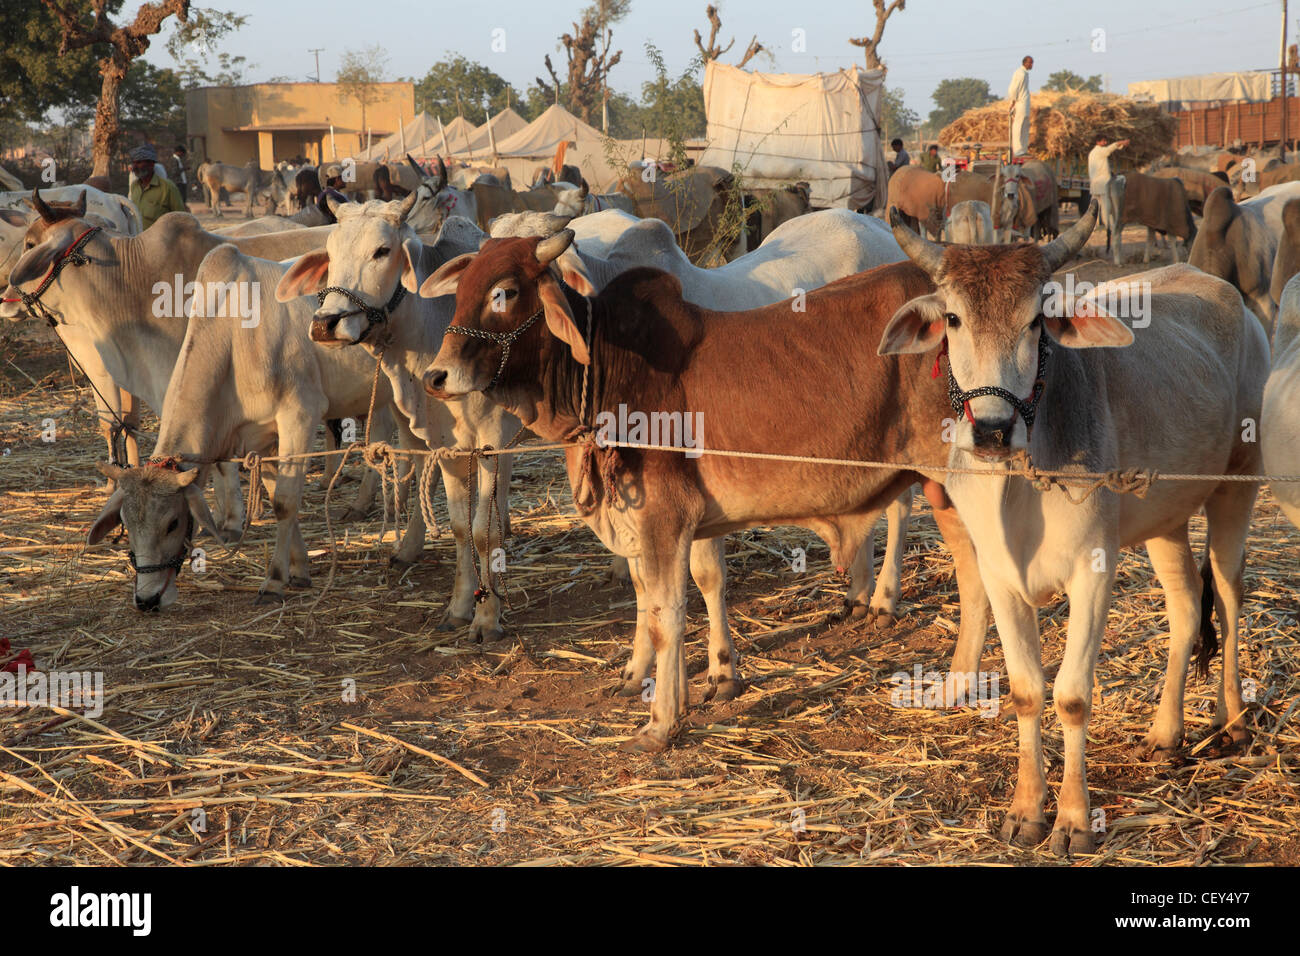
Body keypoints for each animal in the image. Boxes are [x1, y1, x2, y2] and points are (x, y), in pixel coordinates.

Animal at [83, 243, 425, 608]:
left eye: (173, 523)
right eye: (126, 525)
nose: (147, 600)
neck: (234, 336)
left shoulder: (300, 414)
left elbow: (285, 501)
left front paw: (274, 581)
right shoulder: (263, 438)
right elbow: (276, 493)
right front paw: (298, 570)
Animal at [415, 231, 997, 749]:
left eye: (505, 292)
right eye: (462, 288)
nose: (436, 376)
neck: (603, 372)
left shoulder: (664, 517)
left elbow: (669, 615)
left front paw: (661, 722)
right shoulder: (651, 523)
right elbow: (649, 599)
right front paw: (646, 677)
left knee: (979, 573)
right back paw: (953, 683)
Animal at [879, 202, 1268, 856]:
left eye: (1036, 320)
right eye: (953, 318)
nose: (991, 430)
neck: (1018, 483)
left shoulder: (1093, 570)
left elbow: (1072, 695)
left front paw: (1073, 820)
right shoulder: (1000, 577)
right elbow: (1027, 690)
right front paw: (1025, 811)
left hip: (1237, 485)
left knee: (1228, 595)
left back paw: (1233, 720)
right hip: (1163, 517)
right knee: (1187, 605)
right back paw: (1166, 731)